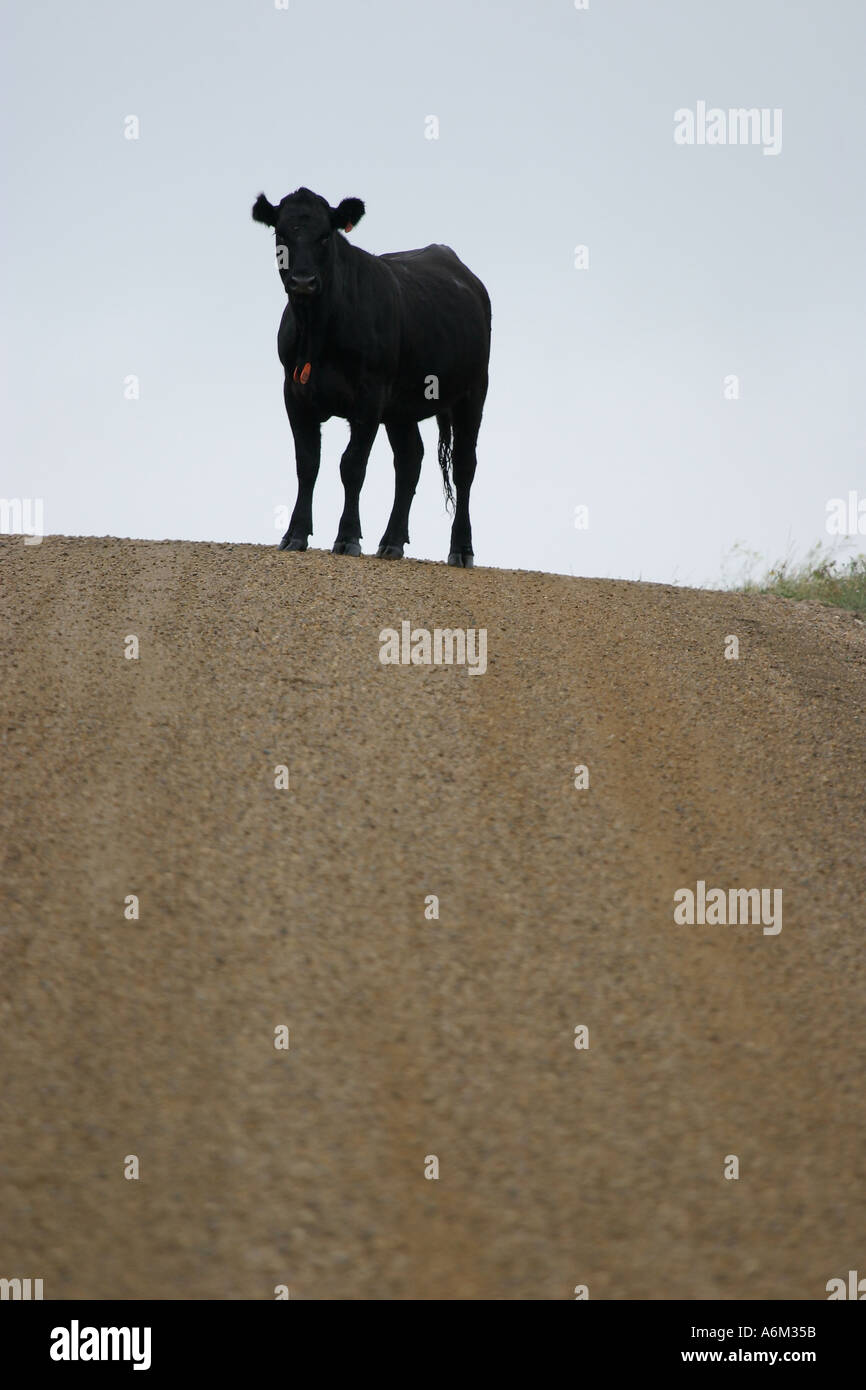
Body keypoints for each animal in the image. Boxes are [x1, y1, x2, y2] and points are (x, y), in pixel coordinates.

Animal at [252, 186, 491, 566]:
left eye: (325, 235)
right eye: (282, 235)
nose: (303, 282)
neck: (318, 333)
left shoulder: (369, 397)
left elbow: (351, 466)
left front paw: (347, 537)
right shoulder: (294, 393)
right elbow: (307, 463)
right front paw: (295, 534)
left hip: (473, 391)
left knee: (464, 466)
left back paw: (460, 549)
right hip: (401, 408)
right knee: (410, 460)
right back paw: (392, 542)